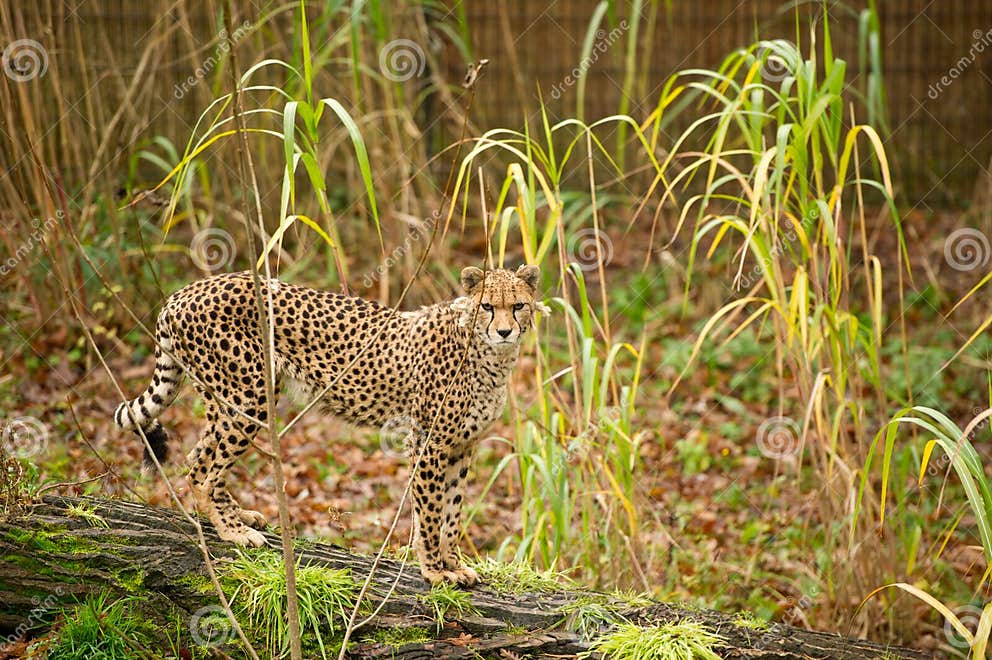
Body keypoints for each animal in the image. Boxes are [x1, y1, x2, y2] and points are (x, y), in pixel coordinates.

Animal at [114, 264, 546, 585]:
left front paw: (454, 563)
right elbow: (430, 510)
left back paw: (238, 516)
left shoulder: (461, 445)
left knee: (199, 455)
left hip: (231, 397)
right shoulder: (428, 442)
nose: (504, 331)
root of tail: (185, 291)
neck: (487, 355)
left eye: (518, 306)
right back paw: (233, 531)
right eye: (487, 306)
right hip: (246, 396)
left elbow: (453, 512)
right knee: (202, 468)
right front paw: (435, 571)